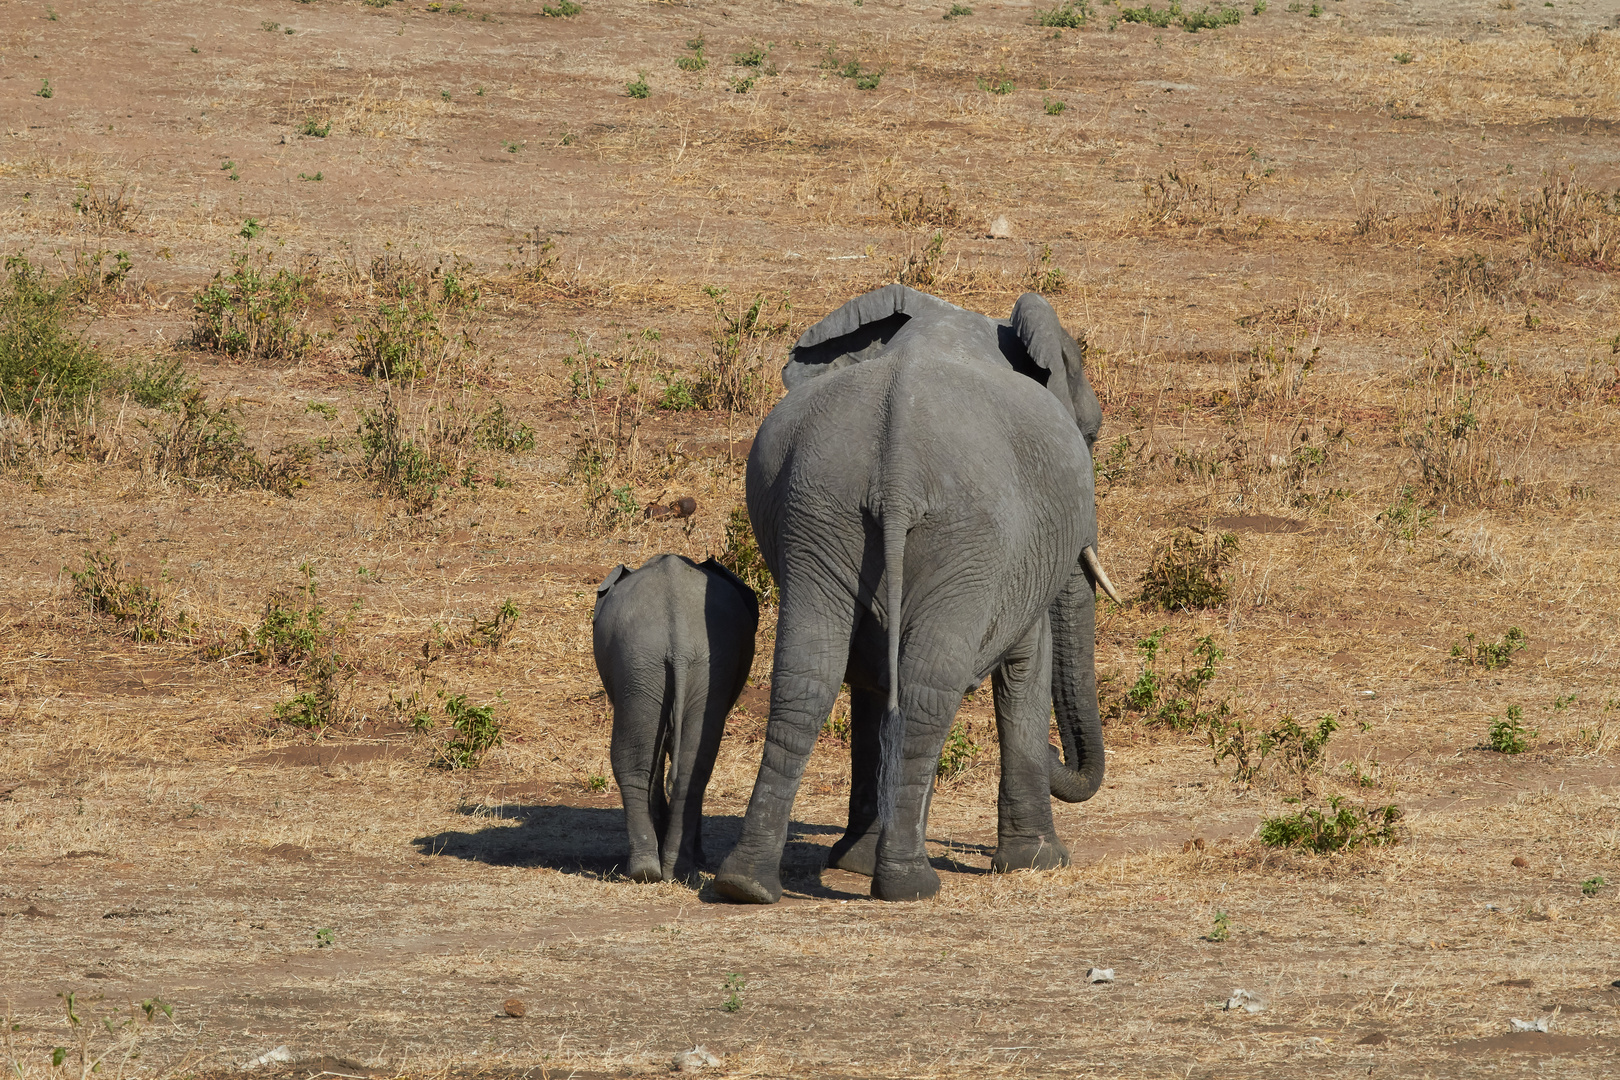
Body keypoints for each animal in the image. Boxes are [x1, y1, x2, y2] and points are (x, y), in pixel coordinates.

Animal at [596, 553, 758, 880]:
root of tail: (679, 643)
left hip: (647, 662)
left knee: (641, 761)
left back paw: (651, 869)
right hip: (653, 663)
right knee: (686, 766)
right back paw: (666, 868)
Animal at [716, 284, 1121, 906]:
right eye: (1092, 439)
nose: (1059, 756)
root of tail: (898, 463)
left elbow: (869, 677)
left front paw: (855, 861)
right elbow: (1026, 665)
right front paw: (1039, 862)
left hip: (820, 511)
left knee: (807, 679)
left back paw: (747, 883)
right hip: (966, 532)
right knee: (929, 688)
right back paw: (910, 883)